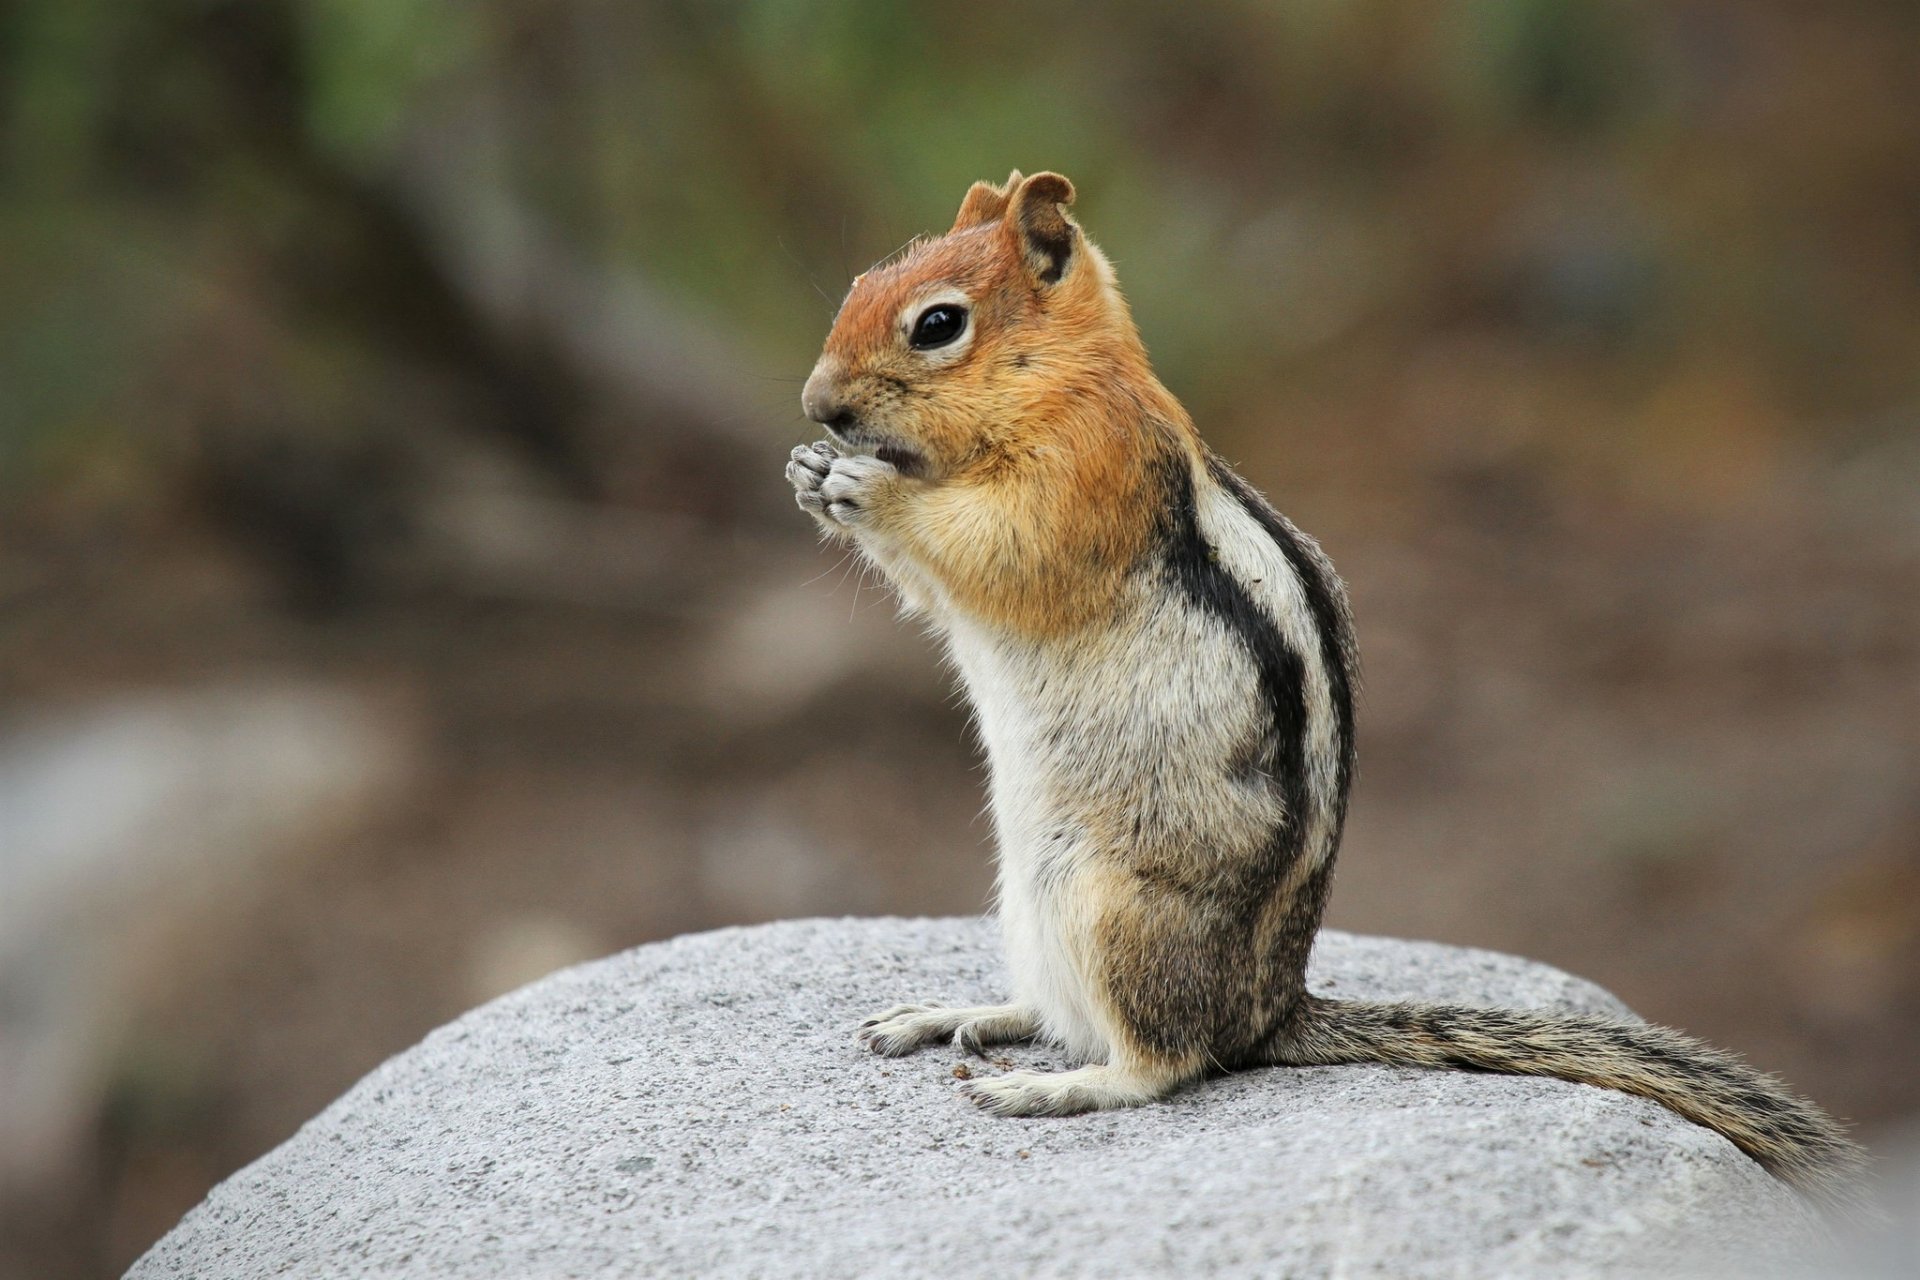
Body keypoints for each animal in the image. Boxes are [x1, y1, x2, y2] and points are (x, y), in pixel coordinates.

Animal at [784, 170, 1864, 1209]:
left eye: (938, 323)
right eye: (861, 281)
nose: (817, 404)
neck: (1059, 380)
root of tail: (1272, 1010)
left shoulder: (1084, 479)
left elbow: (992, 549)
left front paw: (865, 485)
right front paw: (809, 470)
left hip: (1112, 907)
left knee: (1167, 1059)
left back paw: (1053, 1086)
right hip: (1029, 902)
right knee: (1066, 1013)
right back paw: (950, 1014)